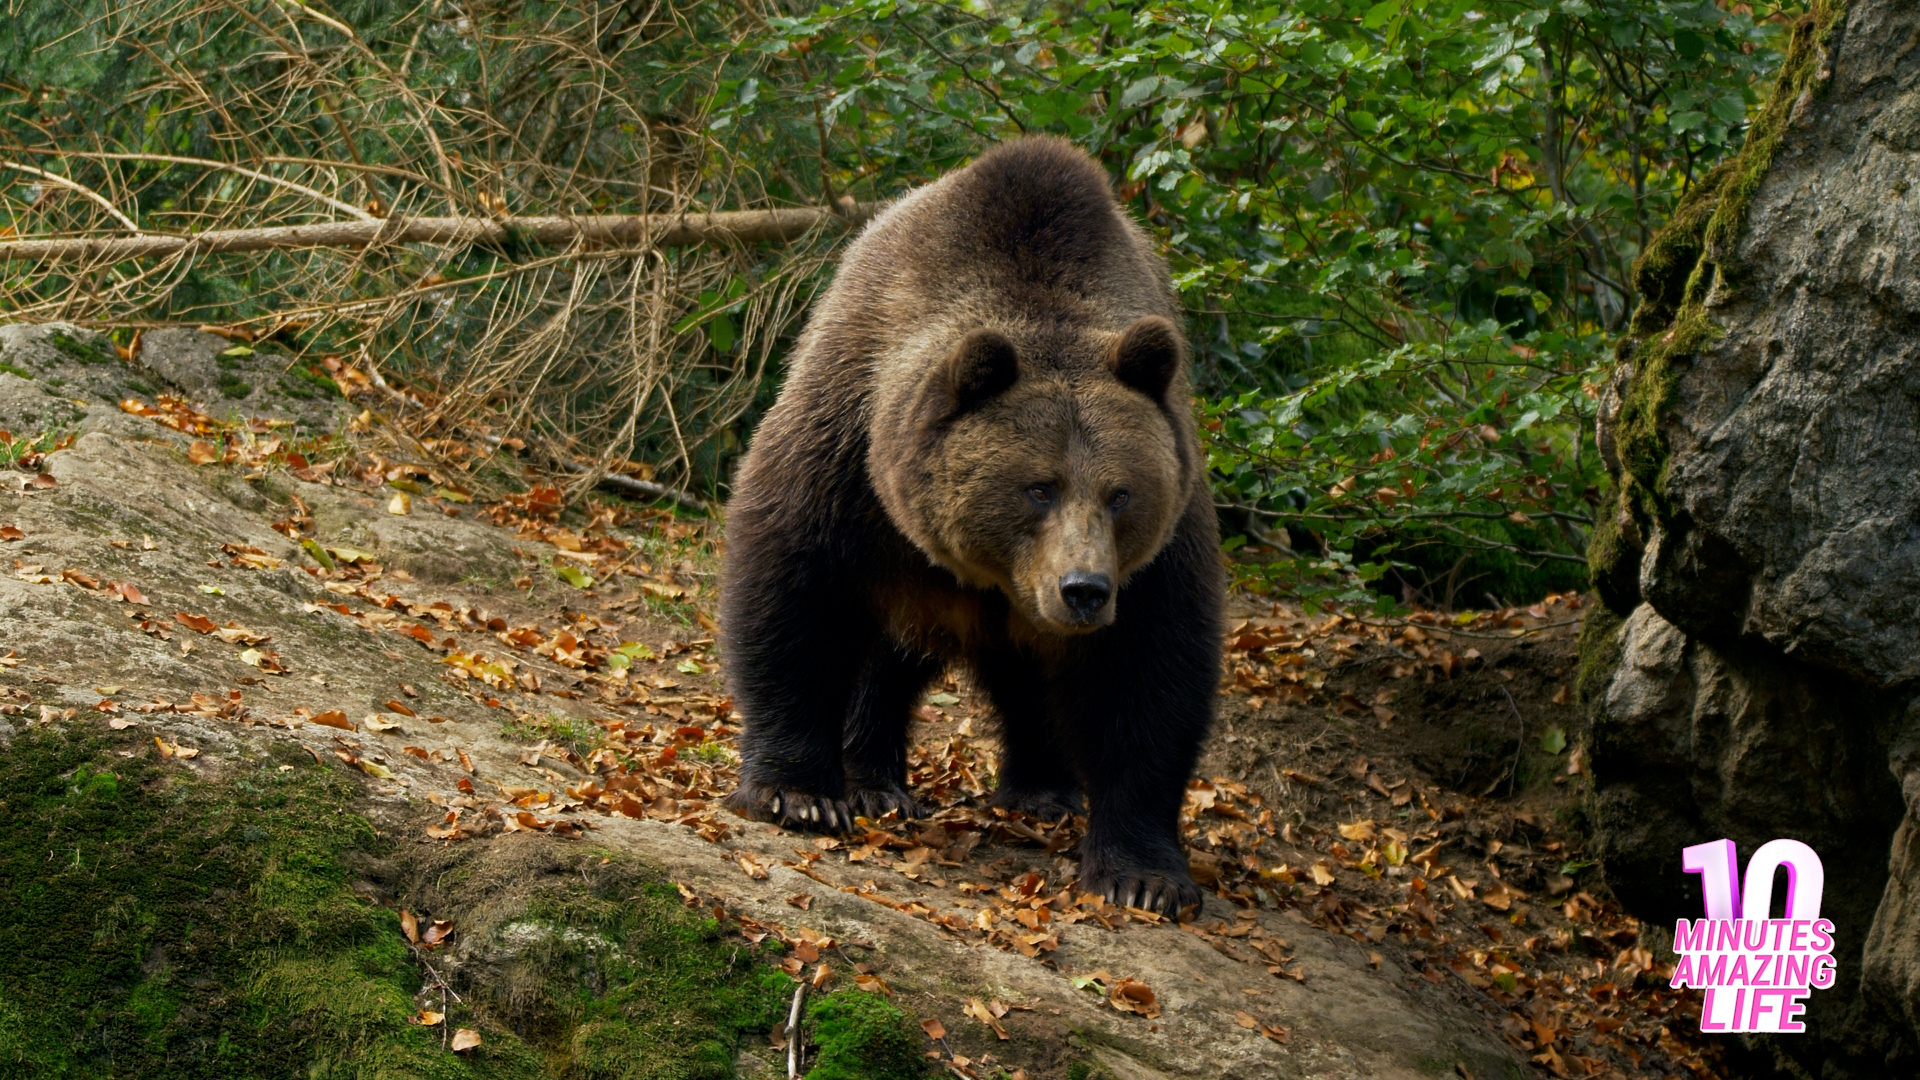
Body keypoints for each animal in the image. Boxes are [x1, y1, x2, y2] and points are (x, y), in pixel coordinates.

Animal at [720, 136, 1224, 915]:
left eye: (1120, 494)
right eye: (1039, 487)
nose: (1084, 590)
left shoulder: (1159, 549)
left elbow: (1150, 673)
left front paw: (1145, 877)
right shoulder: (848, 445)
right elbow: (793, 587)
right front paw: (798, 794)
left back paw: (1042, 789)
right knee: (884, 657)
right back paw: (875, 782)